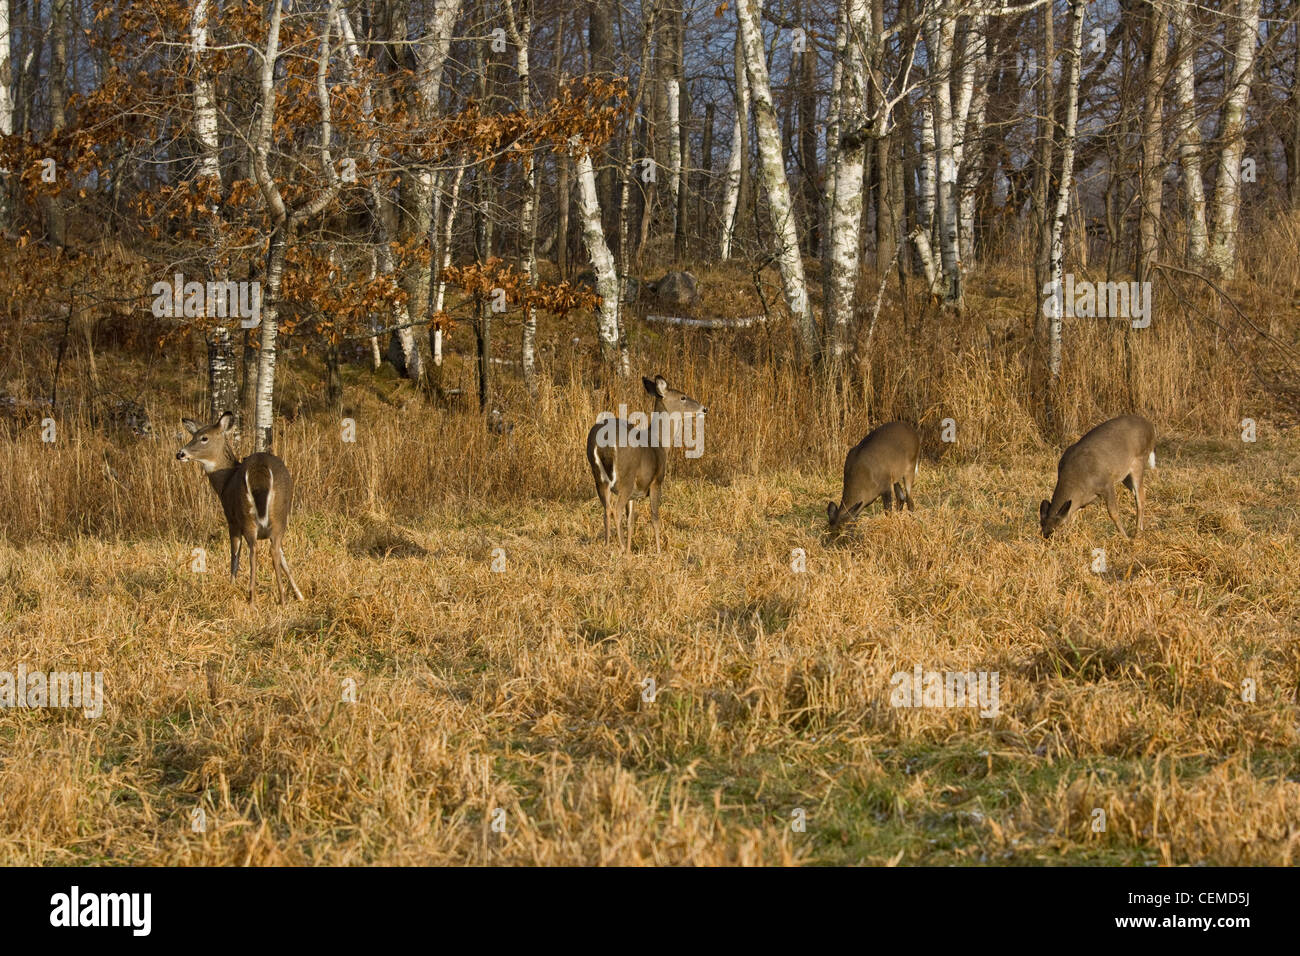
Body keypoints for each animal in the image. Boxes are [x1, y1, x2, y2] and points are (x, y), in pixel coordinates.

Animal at [176, 411, 304, 604]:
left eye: (204, 438)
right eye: (193, 436)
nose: (180, 454)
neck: (225, 481)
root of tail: (259, 469)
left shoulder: (232, 520)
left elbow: (234, 556)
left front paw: (231, 586)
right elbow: (283, 558)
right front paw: (299, 594)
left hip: (246, 515)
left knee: (253, 550)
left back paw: (252, 598)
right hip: (280, 515)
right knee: (274, 550)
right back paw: (282, 597)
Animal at [586, 375, 707, 553]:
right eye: (683, 397)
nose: (704, 409)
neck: (660, 444)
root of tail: (604, 441)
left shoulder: (634, 493)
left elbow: (631, 521)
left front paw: (630, 552)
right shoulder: (657, 481)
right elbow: (655, 517)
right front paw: (658, 550)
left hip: (599, 478)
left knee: (607, 509)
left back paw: (608, 546)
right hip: (625, 477)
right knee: (616, 509)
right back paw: (620, 547)